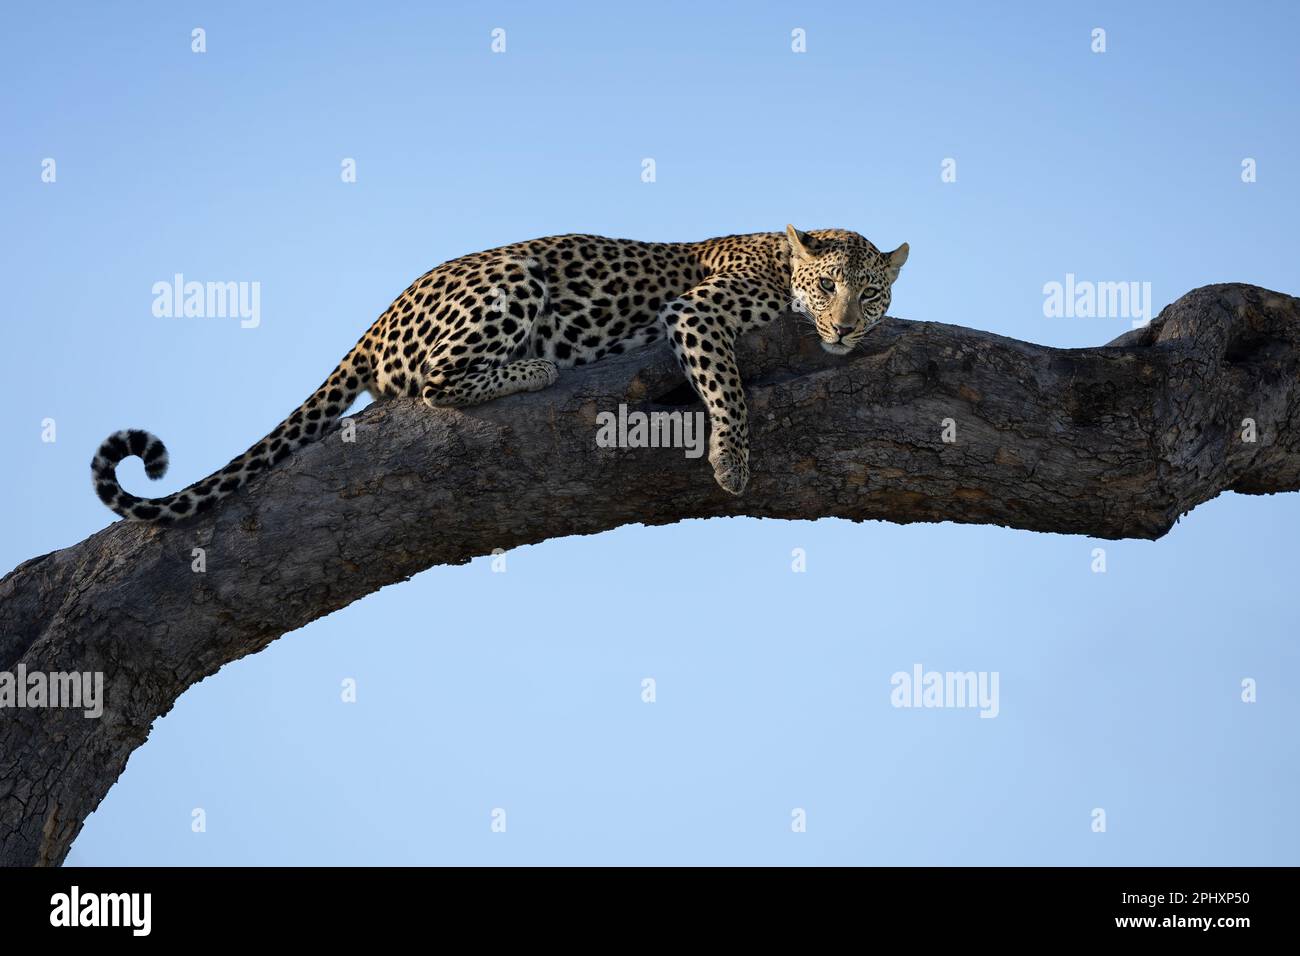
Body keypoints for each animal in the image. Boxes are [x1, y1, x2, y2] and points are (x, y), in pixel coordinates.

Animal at [92, 226, 908, 522]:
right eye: (829, 286)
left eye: (870, 293)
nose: (844, 327)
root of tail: (381, 316)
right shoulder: (698, 311)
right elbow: (729, 387)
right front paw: (732, 462)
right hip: (511, 277)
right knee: (433, 383)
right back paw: (536, 368)